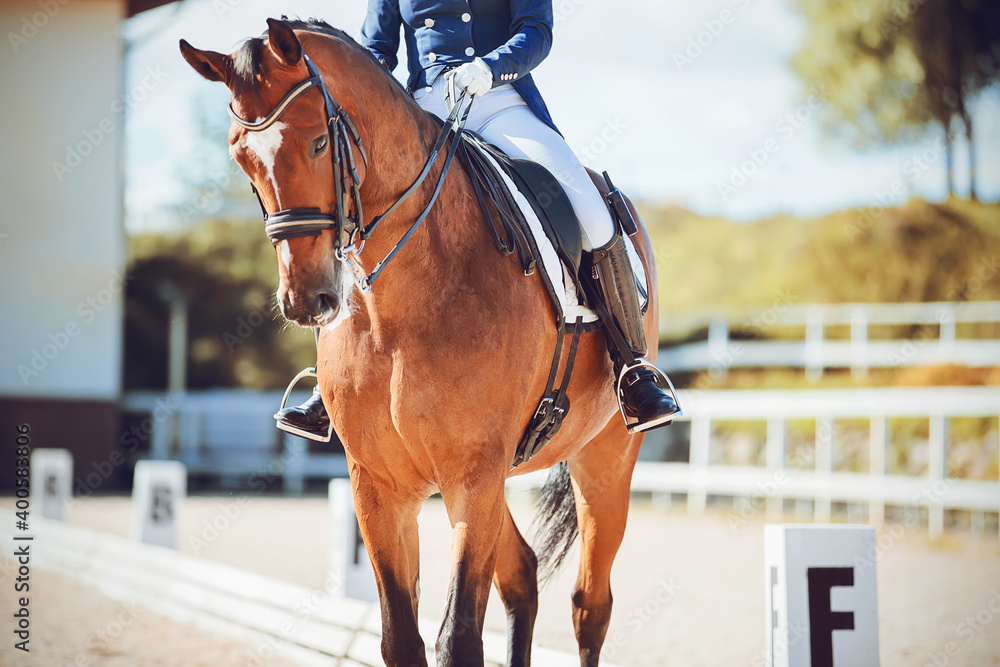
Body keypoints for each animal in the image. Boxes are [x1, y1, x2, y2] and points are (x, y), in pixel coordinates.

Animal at [180, 18, 662, 667]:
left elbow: (457, 636)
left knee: (590, 606)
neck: (399, 312)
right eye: (240, 155)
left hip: (604, 456)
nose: (308, 300)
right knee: (522, 577)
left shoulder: (471, 475)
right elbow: (401, 636)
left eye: (318, 143)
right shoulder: (380, 486)